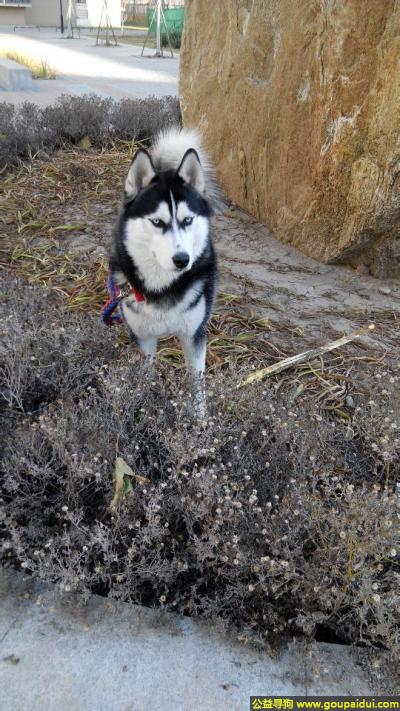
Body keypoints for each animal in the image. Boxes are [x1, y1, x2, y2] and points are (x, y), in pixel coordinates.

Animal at [108, 126, 220, 386]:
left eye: (187, 220)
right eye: (157, 222)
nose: (182, 260)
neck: (163, 287)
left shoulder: (194, 336)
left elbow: (196, 386)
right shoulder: (142, 338)